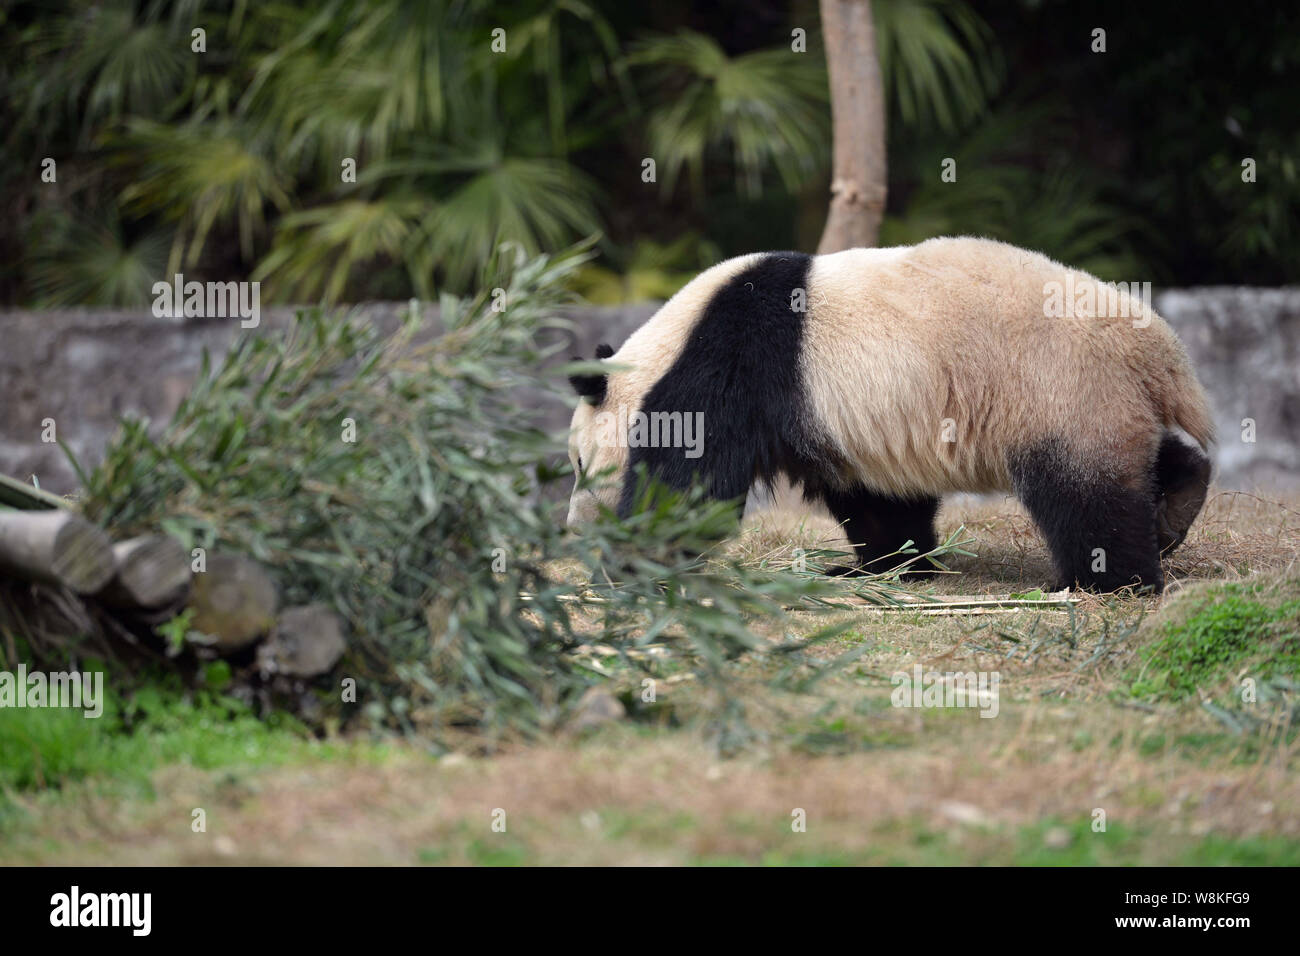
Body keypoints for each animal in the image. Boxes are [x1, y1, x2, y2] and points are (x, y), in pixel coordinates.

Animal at [566, 236, 1213, 594]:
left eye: (575, 465)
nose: (573, 525)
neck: (664, 349)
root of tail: (1161, 352)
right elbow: (877, 499)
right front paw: (888, 568)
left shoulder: (732, 364)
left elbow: (688, 480)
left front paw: (631, 560)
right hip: (1103, 395)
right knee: (1141, 455)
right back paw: (1177, 507)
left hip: (1058, 384)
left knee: (1086, 494)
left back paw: (1103, 582)